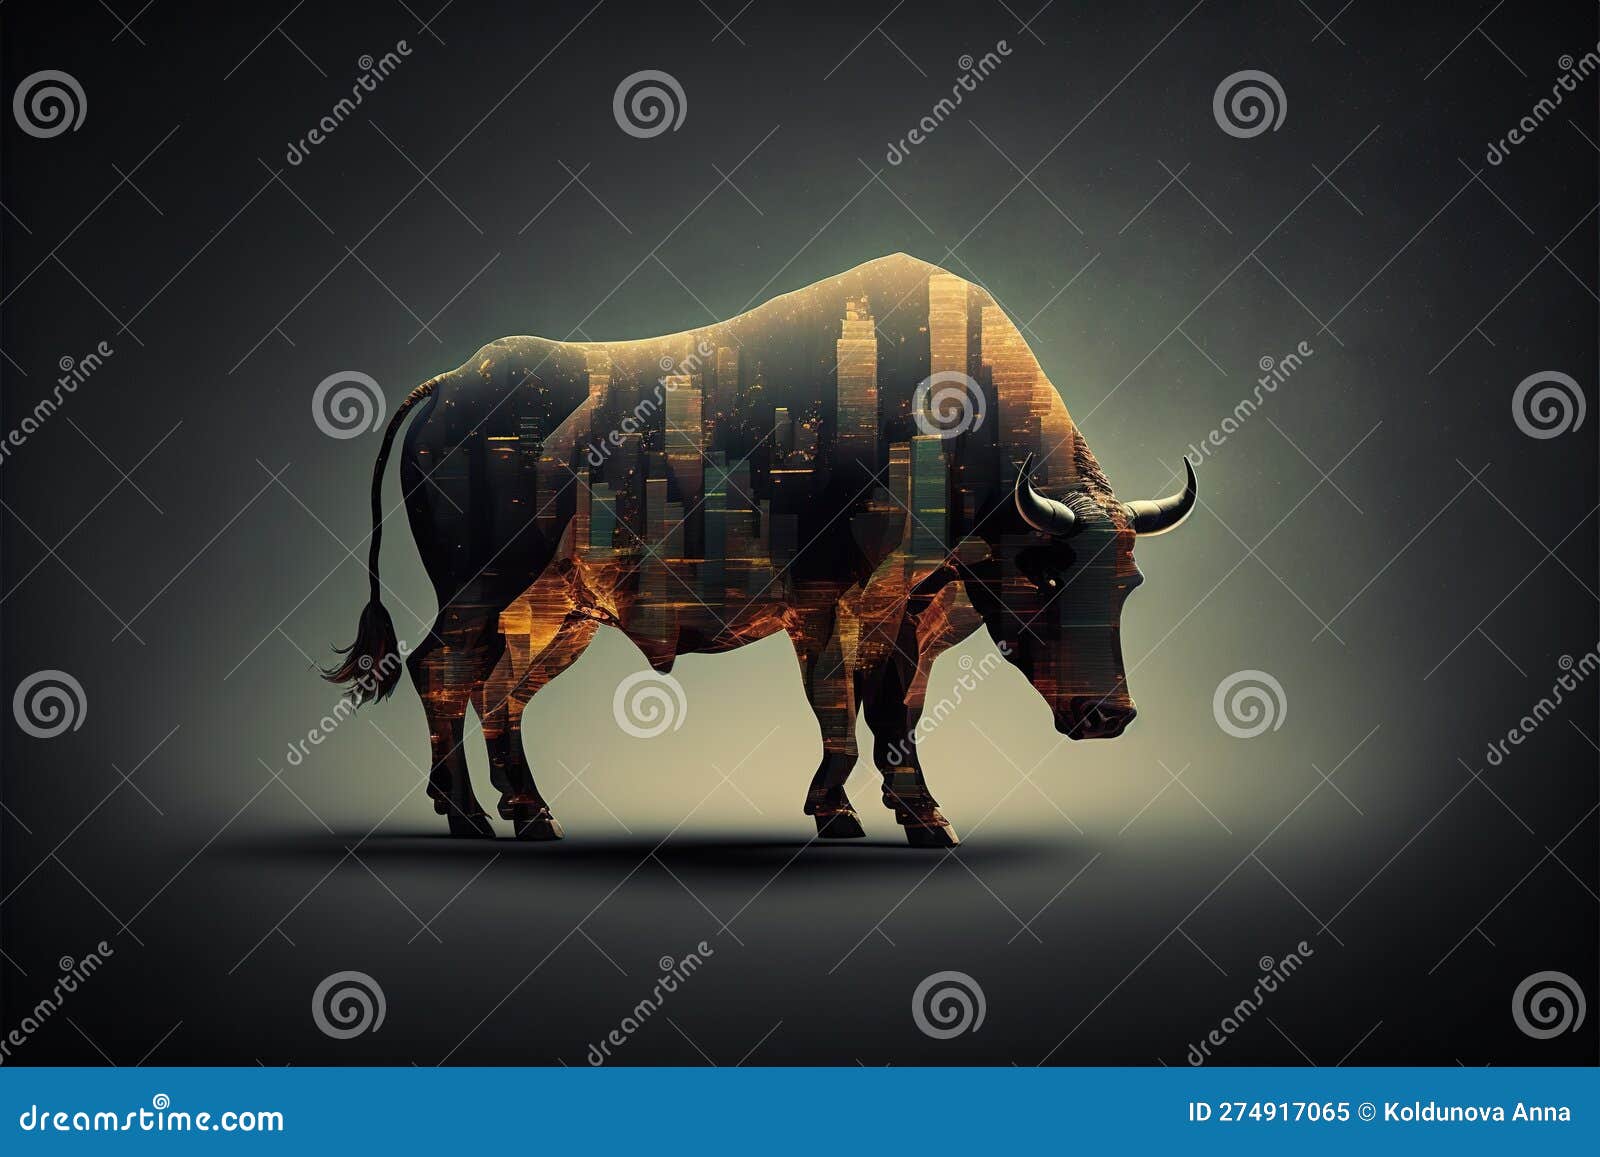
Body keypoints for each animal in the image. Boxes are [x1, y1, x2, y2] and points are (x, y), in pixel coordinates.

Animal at [326, 254, 1195, 845]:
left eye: (1128, 583)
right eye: (1045, 572)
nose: (1109, 714)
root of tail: (449, 383)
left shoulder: (919, 612)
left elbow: (894, 706)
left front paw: (907, 813)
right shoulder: (834, 601)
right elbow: (850, 705)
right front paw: (859, 814)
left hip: (556, 614)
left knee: (498, 687)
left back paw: (530, 814)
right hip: (479, 587)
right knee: (441, 669)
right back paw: (469, 815)